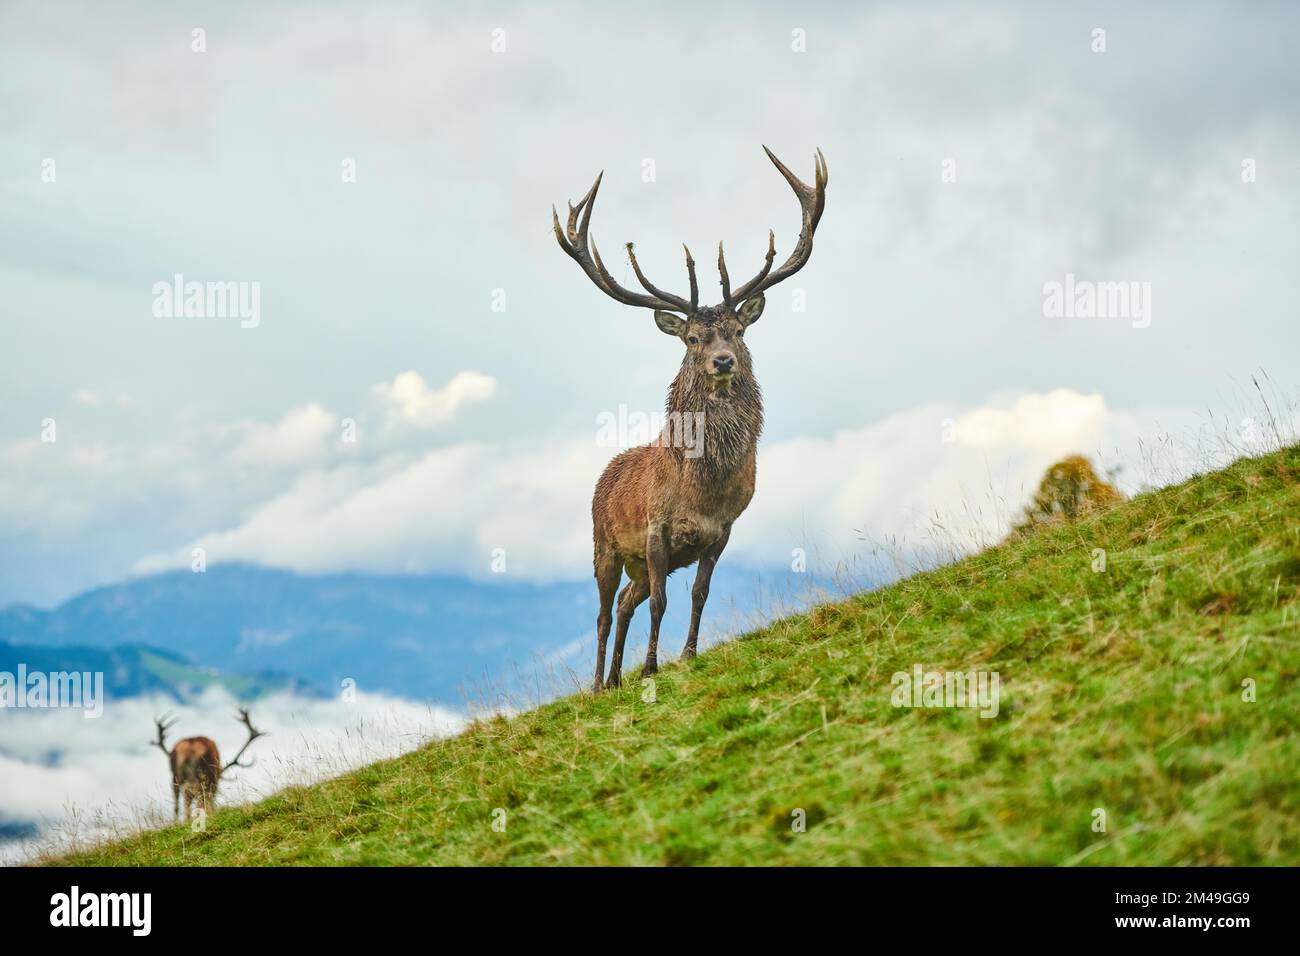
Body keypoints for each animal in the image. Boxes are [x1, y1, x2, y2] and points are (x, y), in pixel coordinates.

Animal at [553, 146, 828, 692]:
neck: (703, 489)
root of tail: (607, 471)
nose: (723, 361)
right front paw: (650, 669)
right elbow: (663, 602)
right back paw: (597, 684)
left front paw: (686, 654)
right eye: (693, 338)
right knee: (604, 611)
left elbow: (699, 594)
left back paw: (614, 680)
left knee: (626, 603)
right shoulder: (656, 530)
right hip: (604, 545)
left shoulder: (721, 531)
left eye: (739, 330)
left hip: (635, 564)